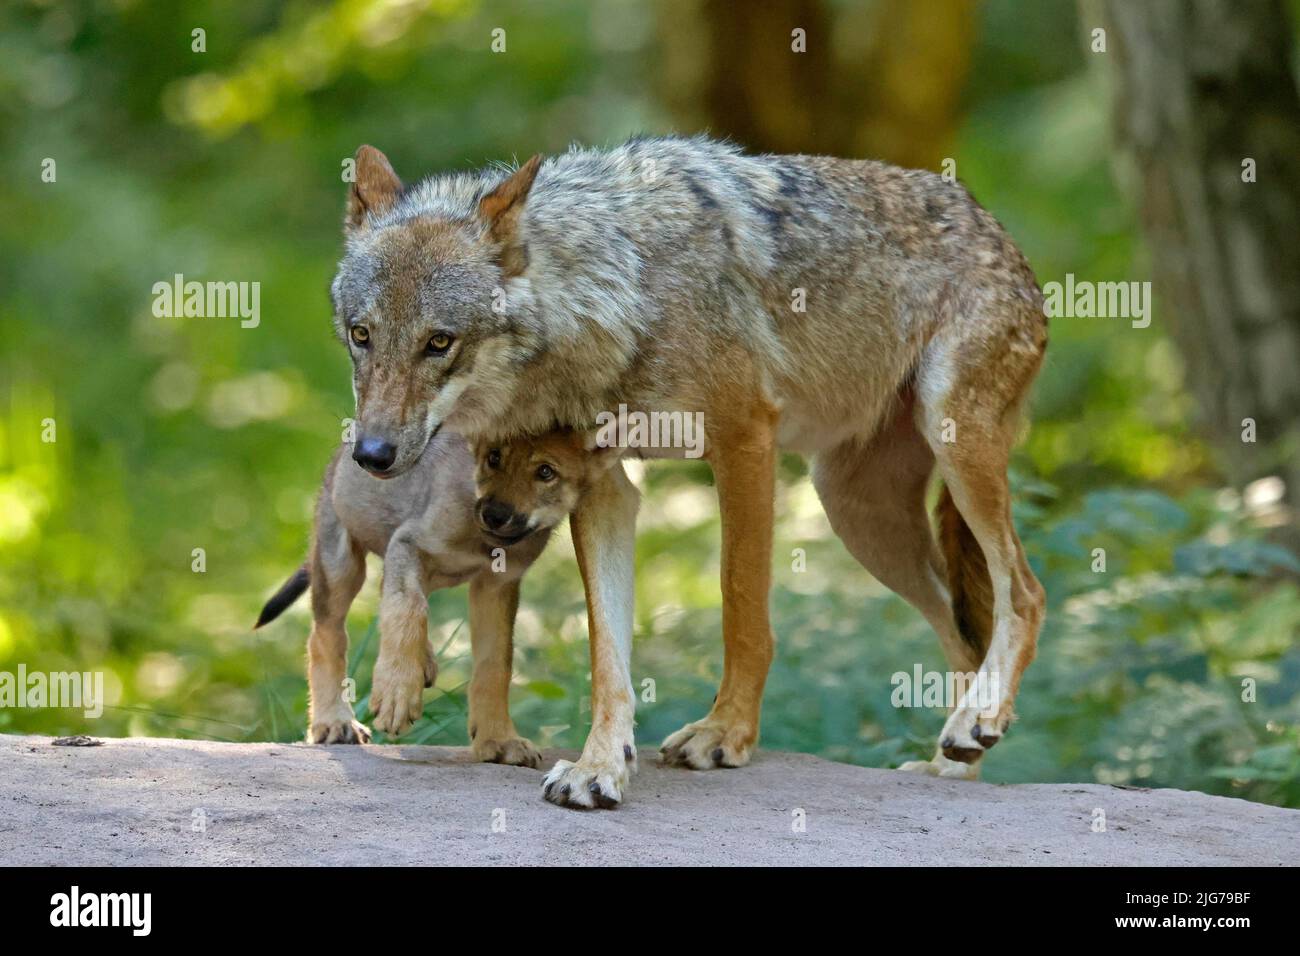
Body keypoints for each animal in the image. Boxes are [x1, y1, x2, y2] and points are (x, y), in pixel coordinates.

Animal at [254, 428, 615, 764]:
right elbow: (408, 611)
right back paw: (334, 722)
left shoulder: (497, 584)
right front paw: (397, 694)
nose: (494, 515)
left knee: (389, 596)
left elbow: (494, 665)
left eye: (545, 472)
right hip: (341, 564)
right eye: (494, 458)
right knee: (326, 637)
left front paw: (498, 739)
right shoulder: (409, 544)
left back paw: (423, 662)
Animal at [331, 135, 1048, 809]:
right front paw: (600, 767)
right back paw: (954, 758)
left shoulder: (744, 442)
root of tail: (997, 226)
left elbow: (741, 612)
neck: (623, 295)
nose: (371, 454)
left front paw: (726, 734)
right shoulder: (606, 489)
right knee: (963, 637)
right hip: (859, 517)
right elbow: (607, 653)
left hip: (949, 453)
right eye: (361, 335)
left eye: (439, 342)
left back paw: (977, 721)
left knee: (1025, 593)